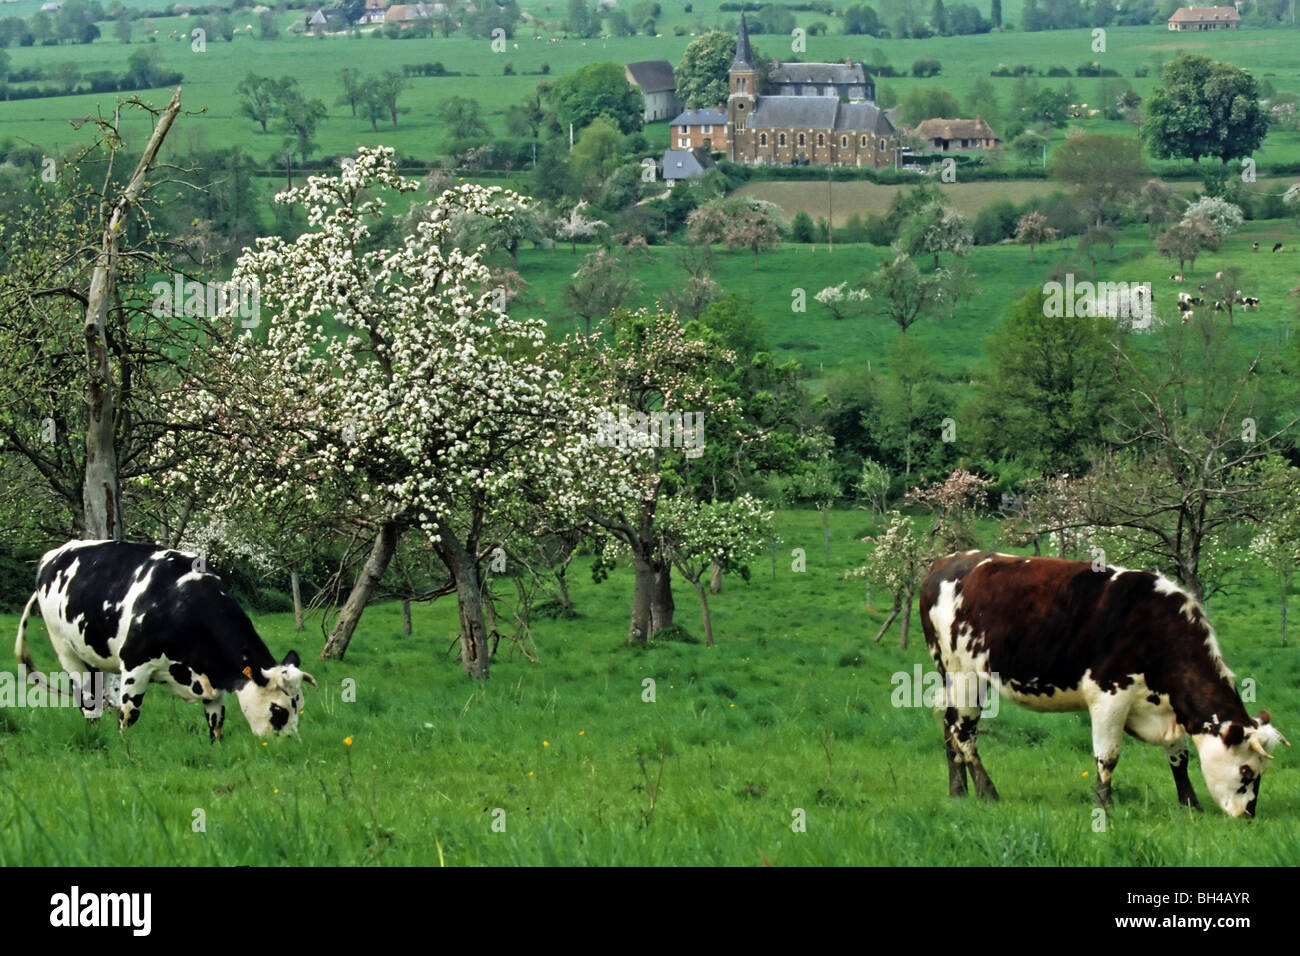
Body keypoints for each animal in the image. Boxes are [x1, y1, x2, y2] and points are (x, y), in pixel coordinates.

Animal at [15, 540, 316, 740]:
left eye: (299, 705)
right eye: (278, 710)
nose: (290, 742)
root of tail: (54, 554)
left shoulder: (213, 681)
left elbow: (216, 720)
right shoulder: (135, 665)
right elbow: (129, 714)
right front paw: (125, 748)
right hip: (65, 649)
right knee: (87, 700)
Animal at [919, 551, 1289, 817]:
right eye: (1246, 771)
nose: (1248, 815)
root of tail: (946, 562)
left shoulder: (1171, 708)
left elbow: (1179, 758)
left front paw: (1190, 806)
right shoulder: (1109, 695)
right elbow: (1107, 756)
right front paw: (1104, 806)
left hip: (954, 677)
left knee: (949, 728)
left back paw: (958, 792)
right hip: (964, 675)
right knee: (964, 734)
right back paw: (987, 792)